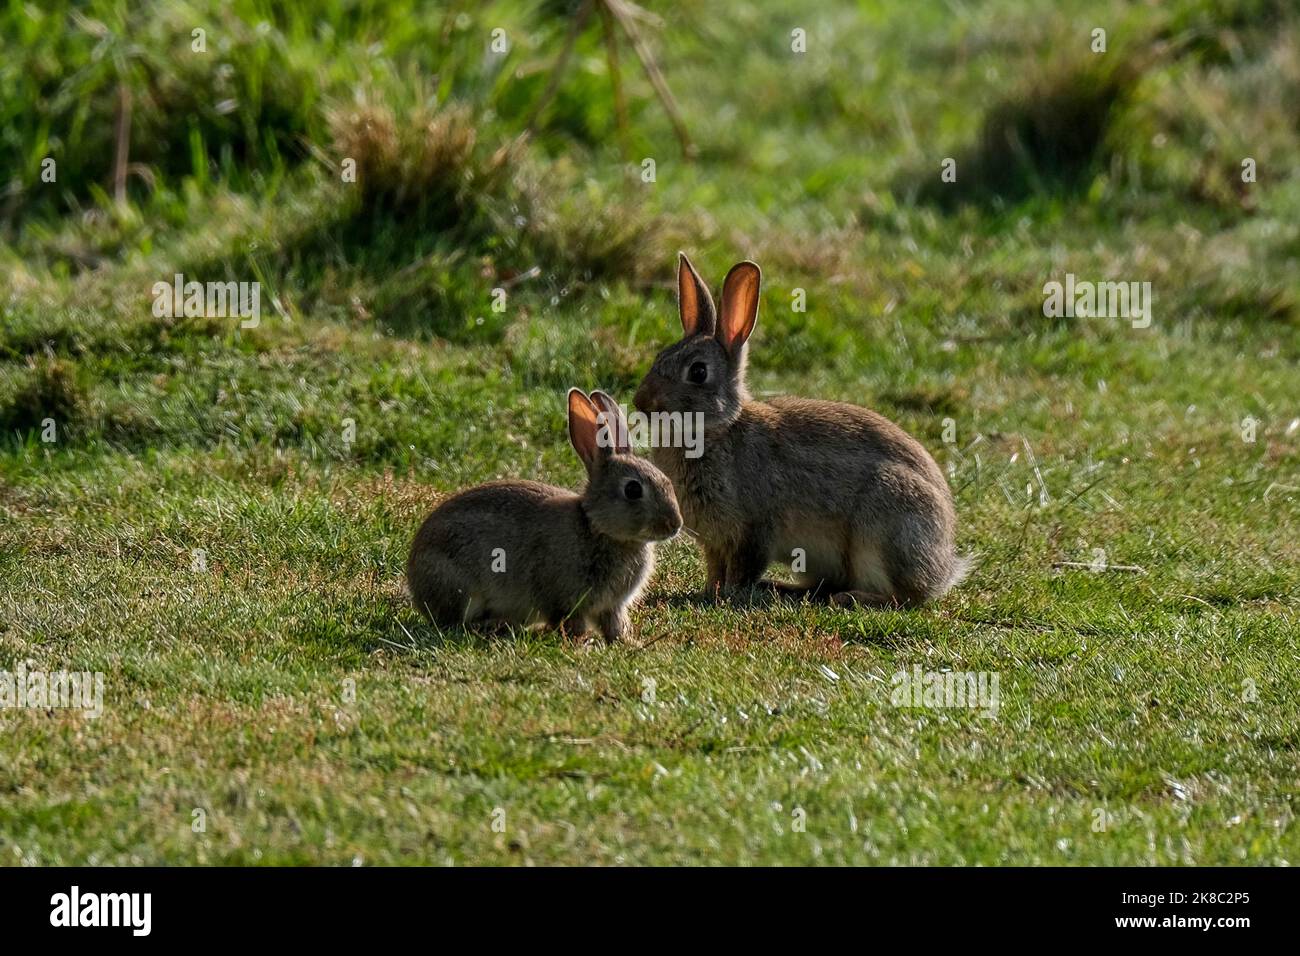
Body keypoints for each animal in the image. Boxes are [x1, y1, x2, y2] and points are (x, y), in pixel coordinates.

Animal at [407, 389, 682, 642]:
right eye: (633, 490)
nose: (675, 525)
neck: (597, 528)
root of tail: (414, 576)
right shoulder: (564, 598)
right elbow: (570, 621)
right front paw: (584, 643)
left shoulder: (611, 606)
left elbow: (614, 625)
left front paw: (627, 642)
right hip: (458, 584)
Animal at [633, 253, 970, 608]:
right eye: (659, 357)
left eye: (698, 372)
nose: (641, 402)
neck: (718, 429)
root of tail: (944, 569)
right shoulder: (715, 542)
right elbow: (716, 568)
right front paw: (710, 590)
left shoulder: (754, 529)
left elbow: (742, 569)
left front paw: (727, 595)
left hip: (883, 530)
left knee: (904, 596)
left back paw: (850, 597)